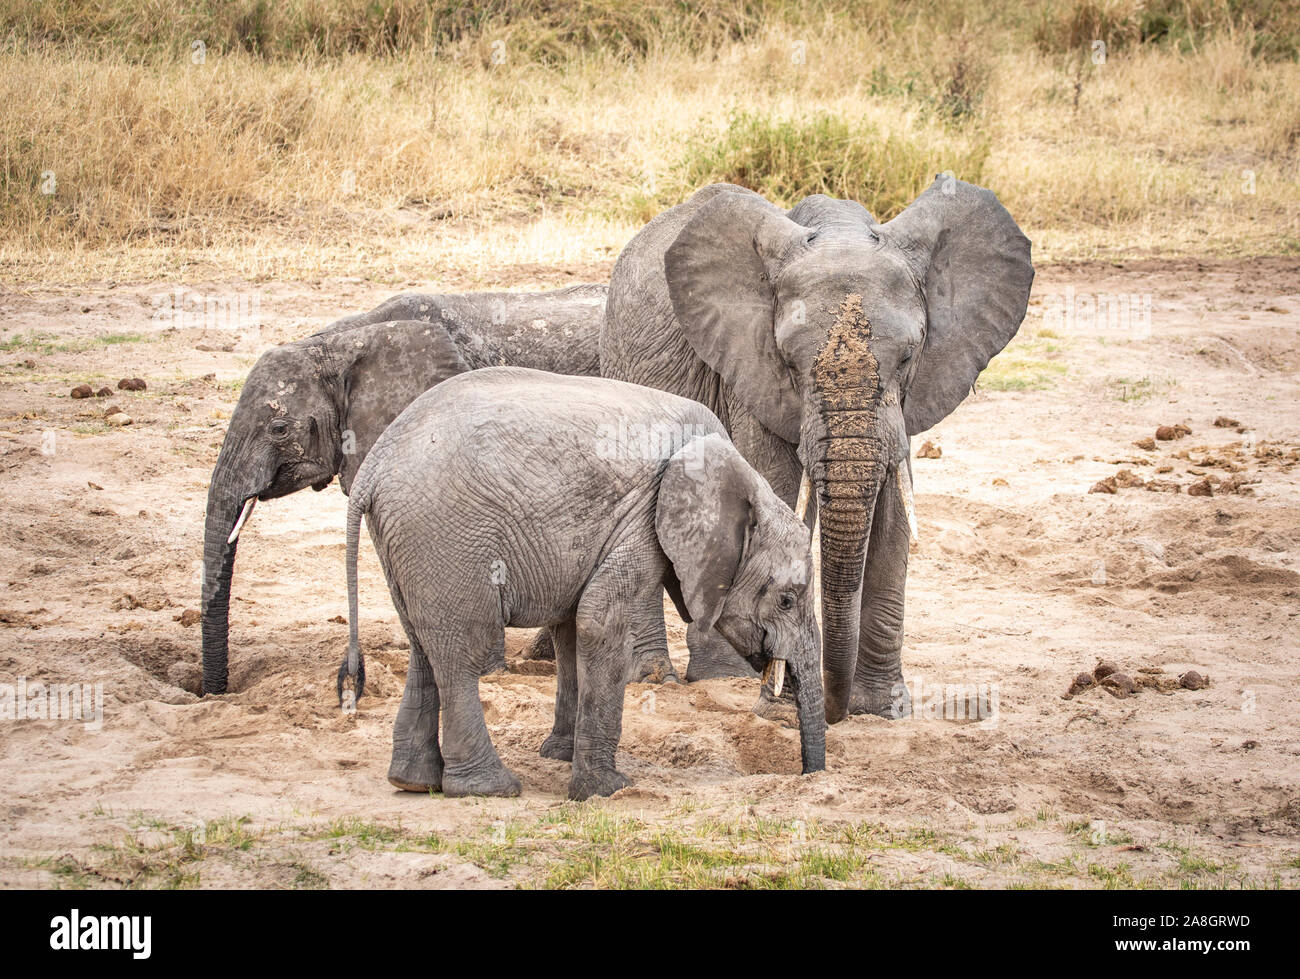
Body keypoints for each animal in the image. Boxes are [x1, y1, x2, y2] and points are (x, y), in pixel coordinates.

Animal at [337, 367, 825, 800]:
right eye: (787, 599)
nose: (807, 776)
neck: (739, 476)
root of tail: (371, 469)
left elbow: (572, 627)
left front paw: (559, 756)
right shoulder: (641, 520)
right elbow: (599, 622)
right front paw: (606, 791)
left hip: (408, 545)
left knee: (424, 647)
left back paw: (413, 783)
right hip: (443, 539)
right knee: (460, 654)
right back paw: (490, 788)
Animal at [600, 178, 1033, 722]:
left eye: (910, 355)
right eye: (788, 360)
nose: (834, 710)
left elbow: (892, 514)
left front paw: (882, 710)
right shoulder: (749, 374)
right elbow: (779, 498)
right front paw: (784, 711)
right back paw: (685, 676)